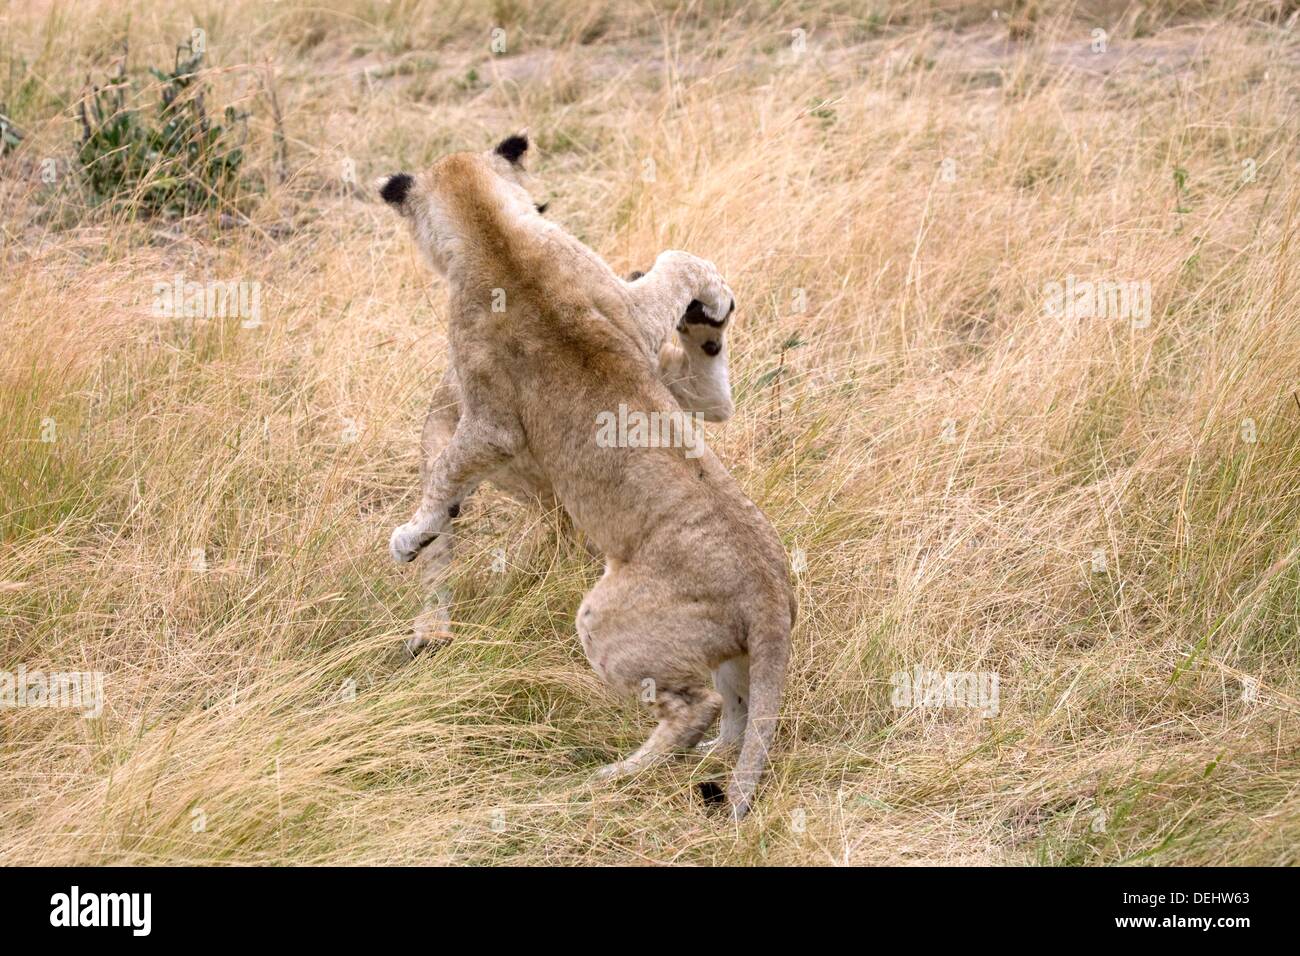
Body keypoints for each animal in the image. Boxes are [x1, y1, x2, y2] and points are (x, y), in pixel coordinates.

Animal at [380, 135, 795, 820]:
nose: (708, 318)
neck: (492, 232)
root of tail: (770, 592)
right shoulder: (650, 346)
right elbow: (685, 278)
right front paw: (711, 310)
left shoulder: (490, 418)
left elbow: (445, 468)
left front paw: (414, 534)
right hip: (736, 654)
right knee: (735, 707)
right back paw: (711, 759)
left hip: (606, 619)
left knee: (696, 707)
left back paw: (610, 778)